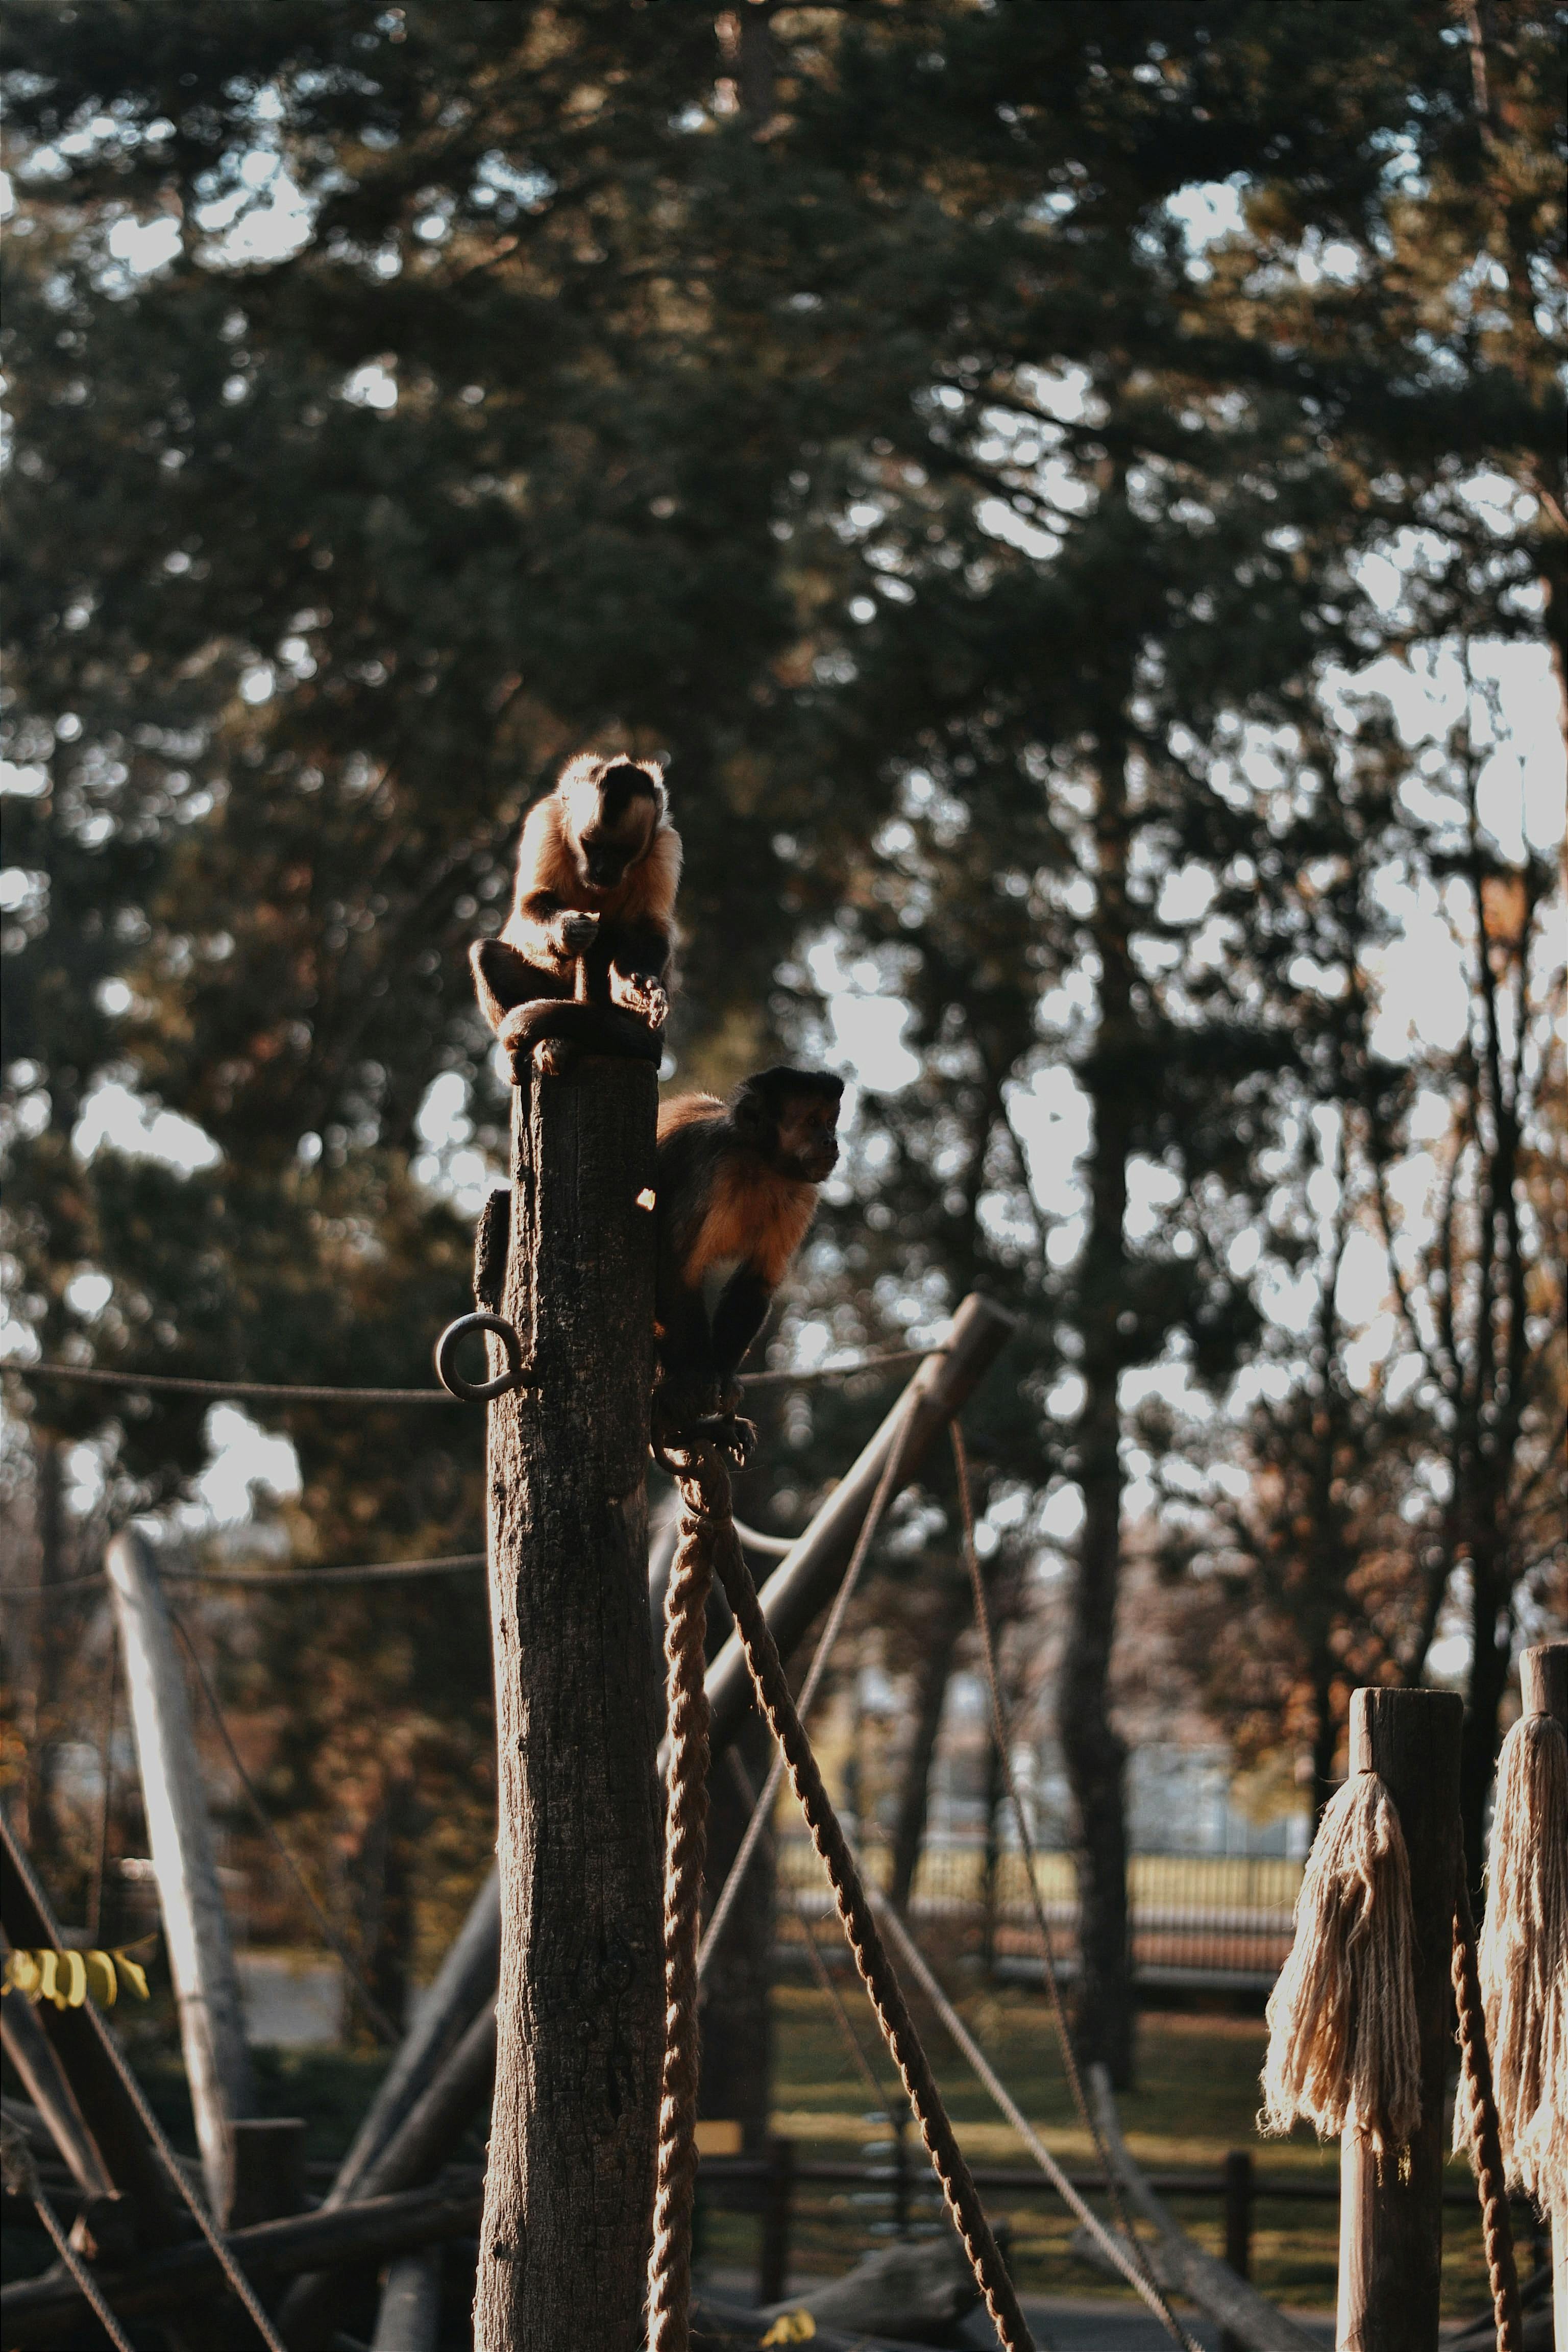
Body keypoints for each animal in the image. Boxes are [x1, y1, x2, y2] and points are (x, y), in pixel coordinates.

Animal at [470, 752, 680, 1040]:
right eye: (592, 846)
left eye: (622, 852)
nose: (603, 871)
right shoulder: (546, 820)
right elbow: (533, 902)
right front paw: (567, 929)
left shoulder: (665, 846)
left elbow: (648, 925)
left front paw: (637, 986)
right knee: (485, 953)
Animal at [651, 1067, 844, 1448]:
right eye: (813, 1122)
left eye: (831, 1123)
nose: (830, 1141)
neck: (762, 1166)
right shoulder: (715, 1171)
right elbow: (676, 1270)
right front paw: (695, 1378)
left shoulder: (801, 1194)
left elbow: (756, 1282)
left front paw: (724, 1378)